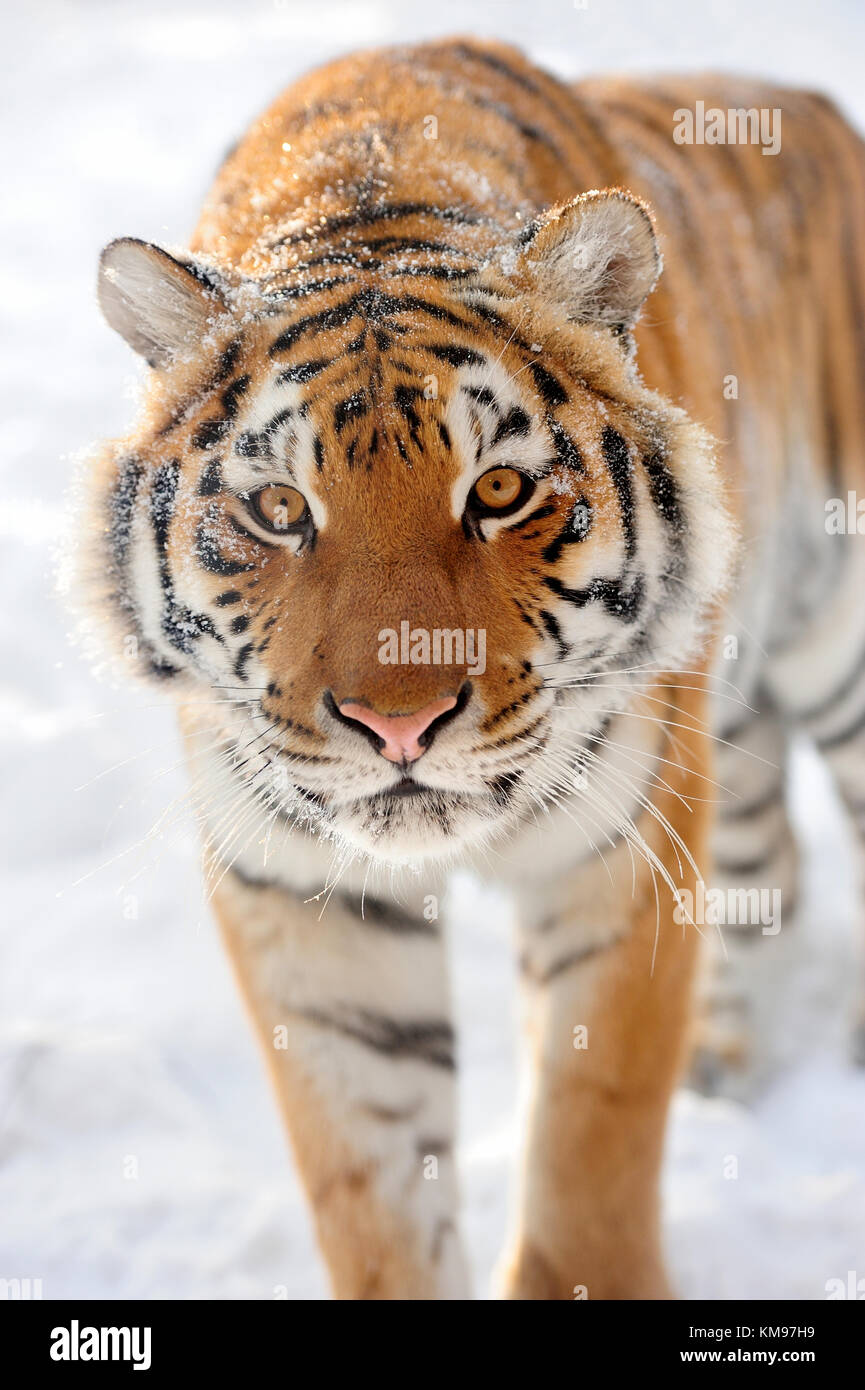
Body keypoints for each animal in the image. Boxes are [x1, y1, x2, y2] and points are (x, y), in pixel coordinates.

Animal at [80, 37, 865, 1300]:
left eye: (497, 490)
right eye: (278, 509)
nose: (398, 726)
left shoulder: (622, 841)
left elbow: (591, 1139)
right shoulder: (302, 894)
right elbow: (371, 1194)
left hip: (835, 649)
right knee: (767, 860)